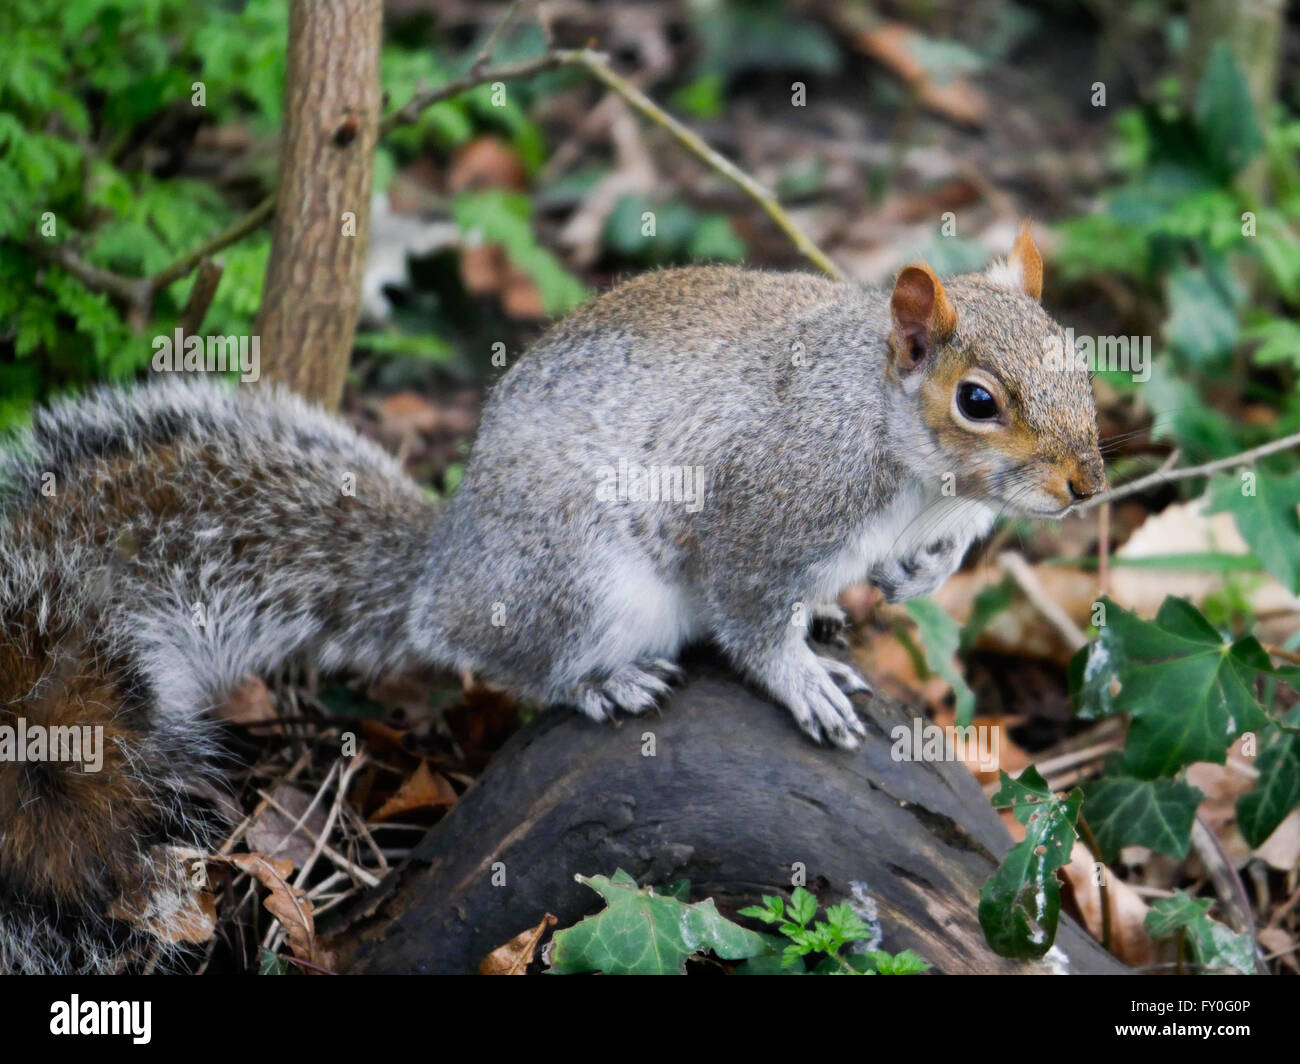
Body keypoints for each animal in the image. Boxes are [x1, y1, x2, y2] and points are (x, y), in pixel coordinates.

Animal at [0, 227, 1105, 972]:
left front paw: (922, 570)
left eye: (1082, 363)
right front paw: (803, 681)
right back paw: (603, 681)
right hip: (575, 574)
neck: (899, 453)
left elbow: (935, 548)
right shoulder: (770, 512)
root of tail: (444, 567)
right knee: (509, 655)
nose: (1086, 485)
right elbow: (751, 612)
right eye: (977, 400)